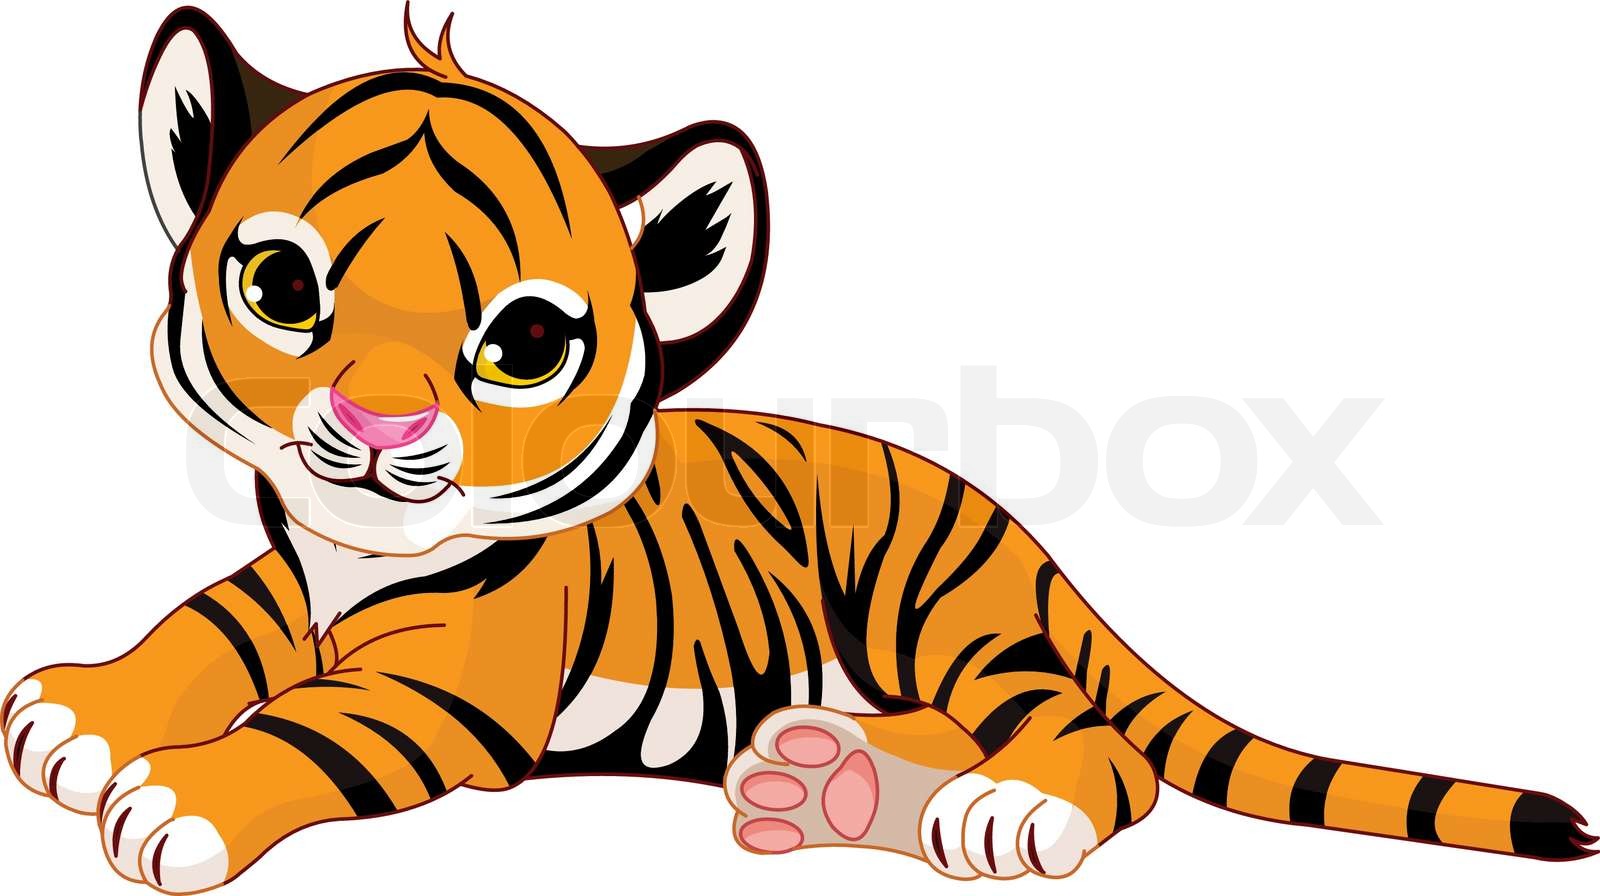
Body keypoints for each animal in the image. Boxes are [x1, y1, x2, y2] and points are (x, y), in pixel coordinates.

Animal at [2, 7, 1591, 893]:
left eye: (523, 343)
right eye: (283, 288)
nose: (382, 427)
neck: (358, 559)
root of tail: (1026, 543)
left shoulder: (442, 692)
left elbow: (303, 730)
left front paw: (174, 800)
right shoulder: (287, 573)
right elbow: (205, 629)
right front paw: (80, 711)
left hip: (928, 606)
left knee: (1089, 745)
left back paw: (1002, 807)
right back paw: (821, 778)